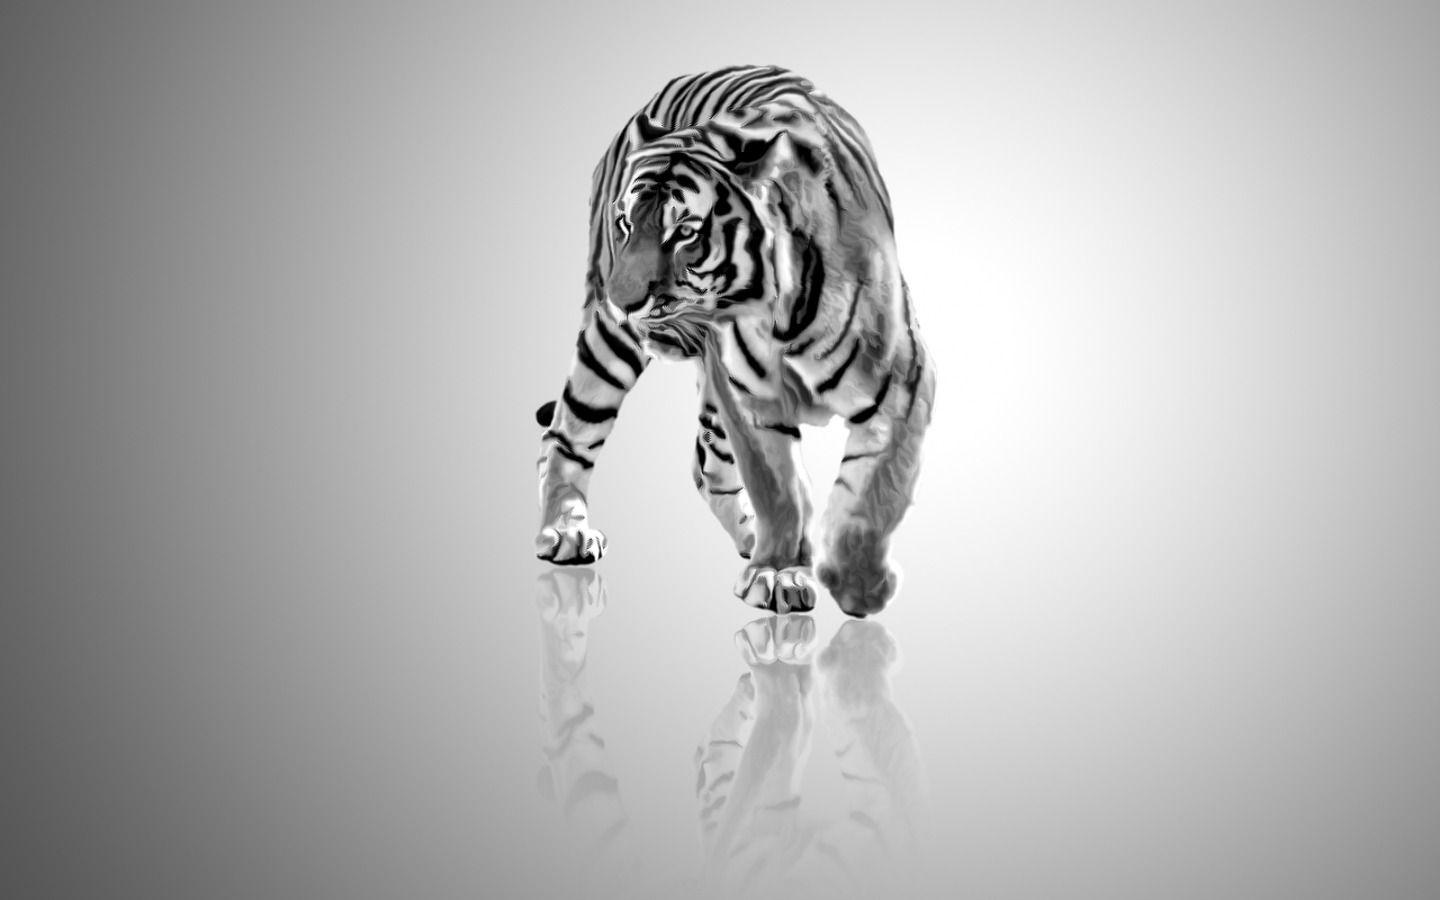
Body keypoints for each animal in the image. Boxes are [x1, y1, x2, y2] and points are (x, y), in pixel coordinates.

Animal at [533, 65, 936, 617]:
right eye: (626, 223)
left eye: (684, 232)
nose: (623, 301)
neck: (781, 313)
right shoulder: (752, 402)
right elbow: (779, 488)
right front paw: (779, 573)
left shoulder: (901, 387)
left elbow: (875, 490)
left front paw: (856, 584)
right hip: (610, 347)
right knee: (567, 432)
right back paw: (565, 531)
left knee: (705, 463)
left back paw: (752, 538)